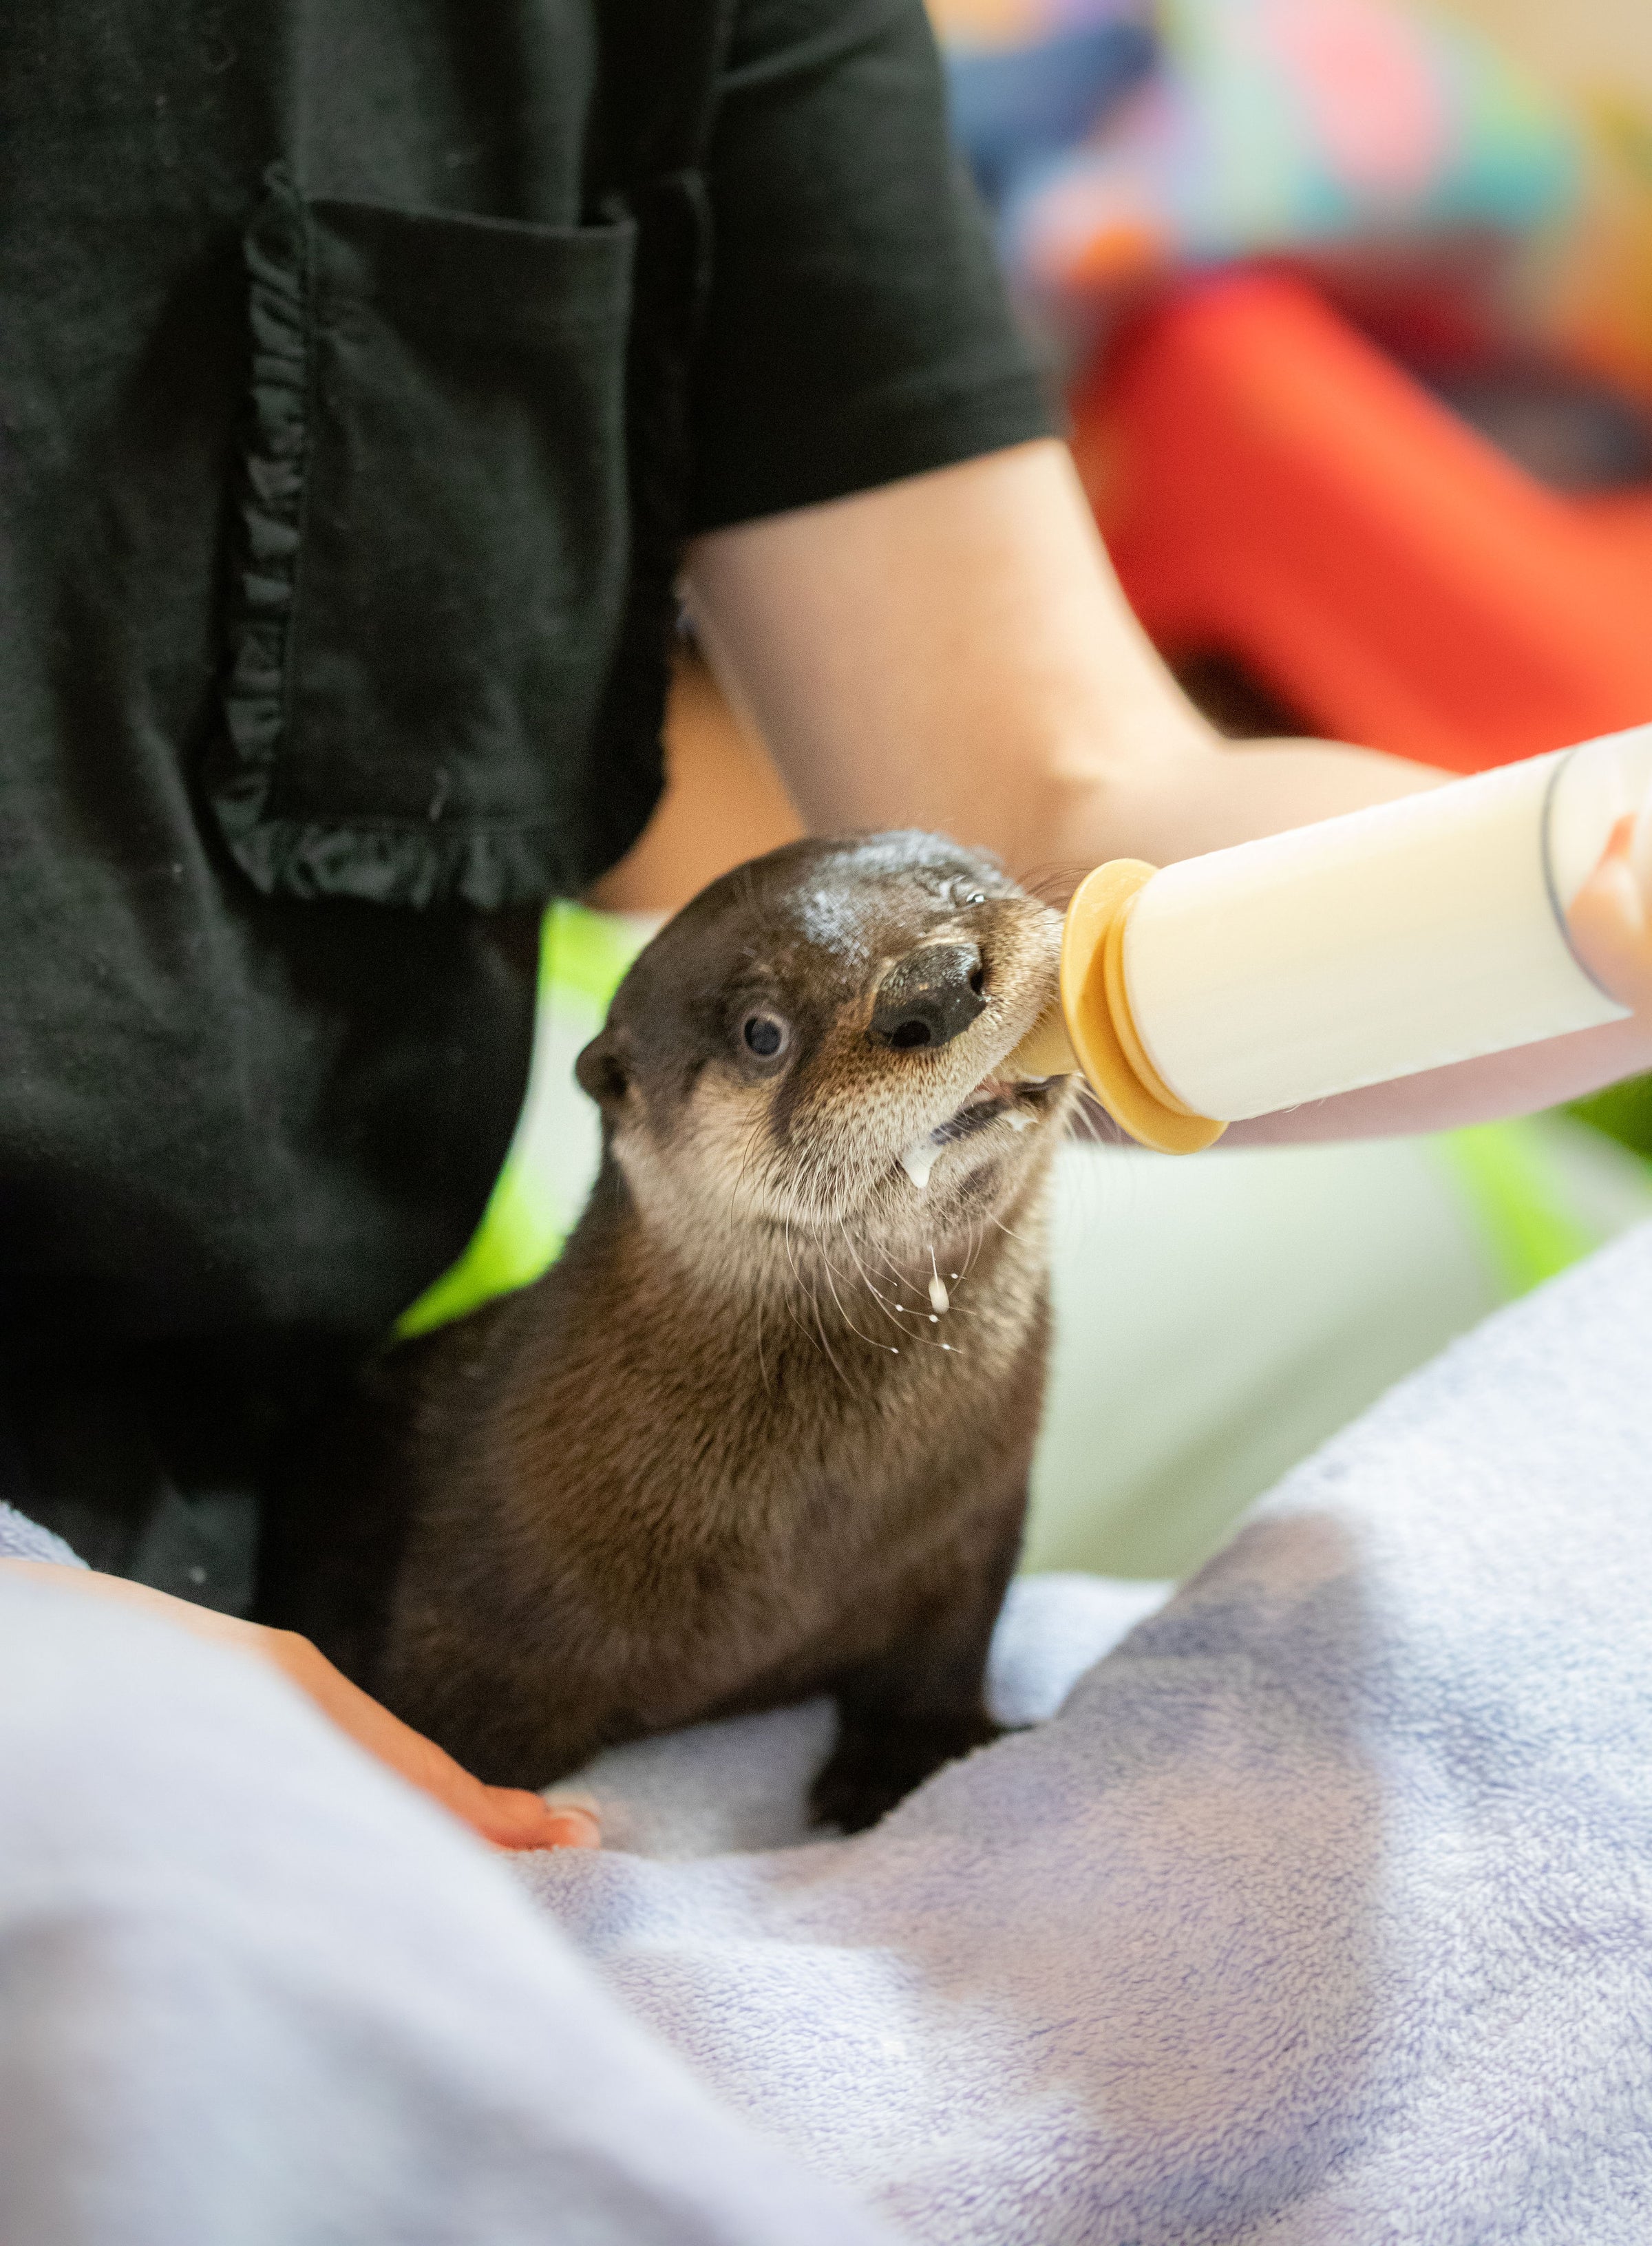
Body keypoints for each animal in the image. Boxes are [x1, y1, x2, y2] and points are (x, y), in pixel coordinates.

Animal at [261, 833, 1078, 1833]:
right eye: (762, 1032)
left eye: (955, 886)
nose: (931, 988)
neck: (807, 1526)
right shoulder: (464, 1624)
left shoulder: (973, 1529)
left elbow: (943, 1656)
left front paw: (901, 1762)